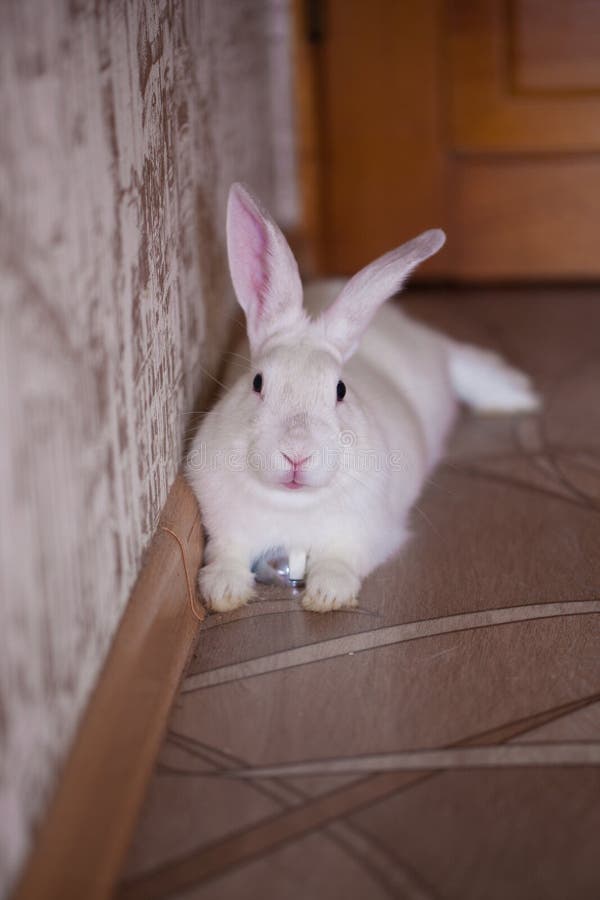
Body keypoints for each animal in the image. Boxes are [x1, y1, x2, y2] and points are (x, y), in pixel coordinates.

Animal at [186, 183, 539, 613]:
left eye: (340, 390)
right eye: (256, 383)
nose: (296, 455)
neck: (294, 503)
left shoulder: (369, 533)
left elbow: (340, 559)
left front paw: (327, 595)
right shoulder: (224, 528)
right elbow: (225, 555)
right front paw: (224, 592)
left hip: (435, 360)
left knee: (458, 361)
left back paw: (515, 393)